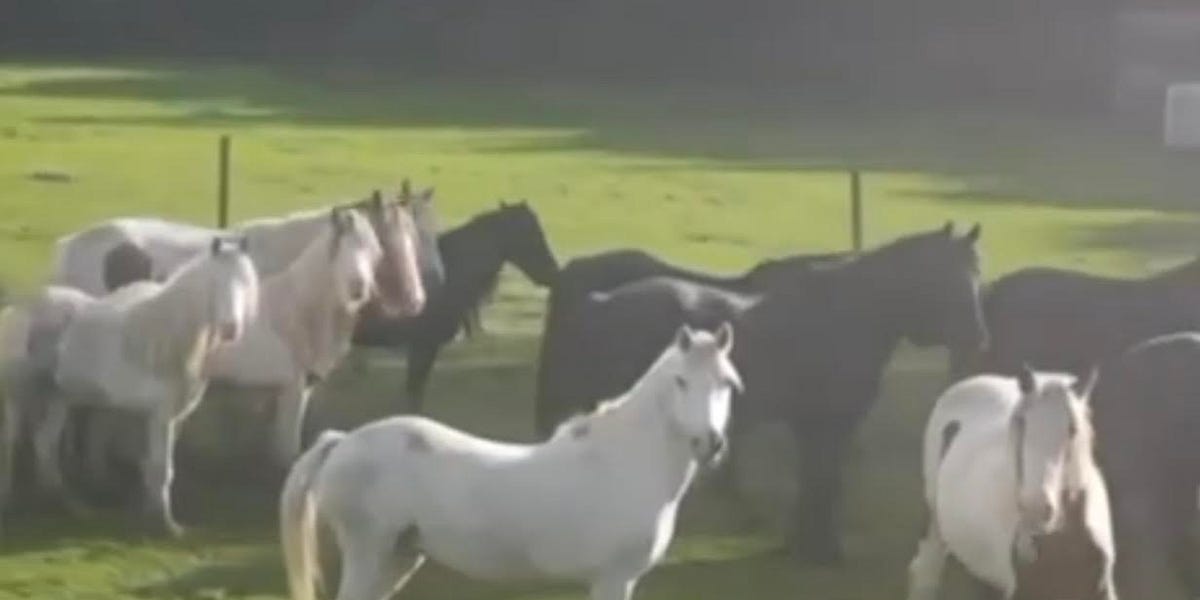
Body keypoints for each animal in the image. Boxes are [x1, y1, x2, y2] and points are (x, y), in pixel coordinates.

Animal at [1, 237, 259, 536]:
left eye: (245, 281)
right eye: (214, 283)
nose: (230, 329)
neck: (167, 338)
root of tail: (16, 310)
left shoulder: (172, 418)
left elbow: (157, 467)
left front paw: (150, 513)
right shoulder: (160, 416)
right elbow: (160, 468)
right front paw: (166, 525)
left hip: (58, 397)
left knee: (45, 444)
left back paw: (69, 505)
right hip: (19, 394)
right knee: (12, 441)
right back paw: (11, 502)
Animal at [280, 323, 741, 600]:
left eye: (726, 384)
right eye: (681, 381)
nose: (710, 443)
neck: (624, 463)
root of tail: (343, 441)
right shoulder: (613, 578)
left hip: (398, 556)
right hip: (368, 552)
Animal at [534, 223, 987, 563]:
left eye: (976, 275)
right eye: (945, 279)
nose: (979, 341)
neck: (848, 313)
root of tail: (599, 301)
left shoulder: (814, 427)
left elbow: (818, 481)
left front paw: (806, 545)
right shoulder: (828, 425)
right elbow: (824, 481)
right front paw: (821, 550)